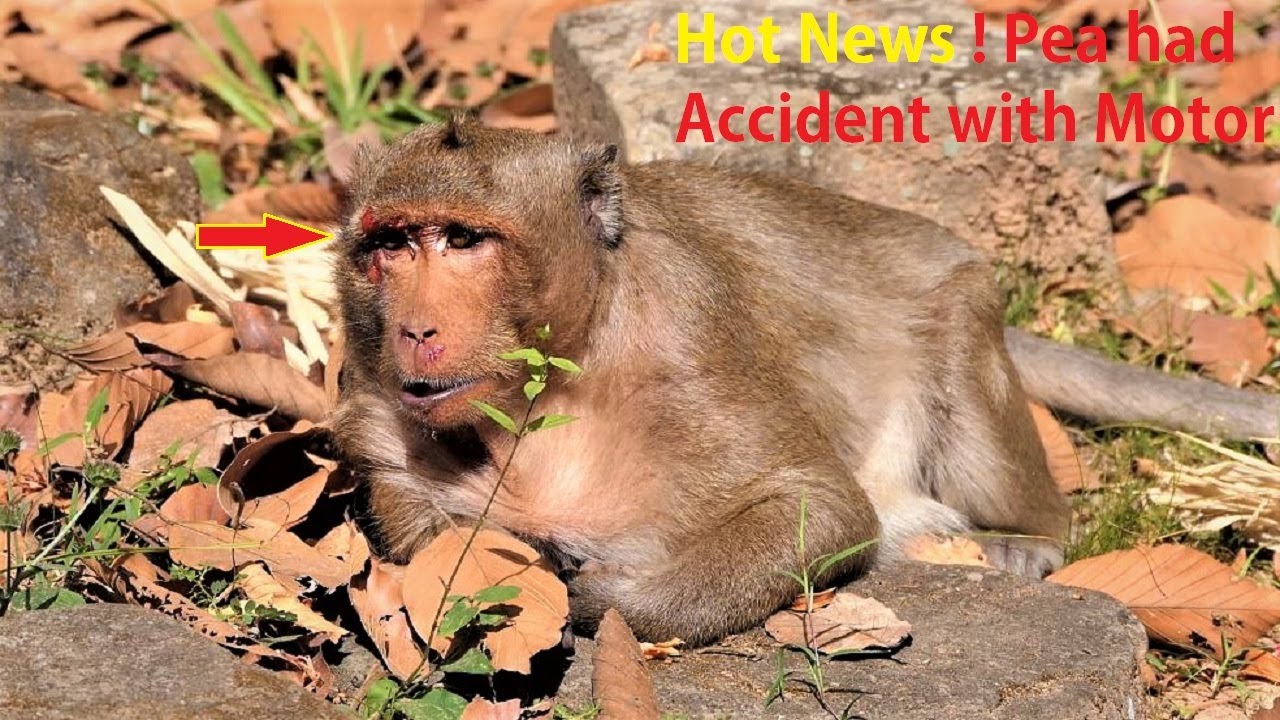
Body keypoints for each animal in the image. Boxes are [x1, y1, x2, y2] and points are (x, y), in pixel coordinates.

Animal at [330, 117, 1069, 647]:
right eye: (390, 245)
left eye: (462, 239)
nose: (416, 330)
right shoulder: (369, 387)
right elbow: (411, 502)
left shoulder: (685, 339)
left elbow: (821, 505)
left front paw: (611, 599)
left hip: (962, 308)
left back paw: (1025, 542)